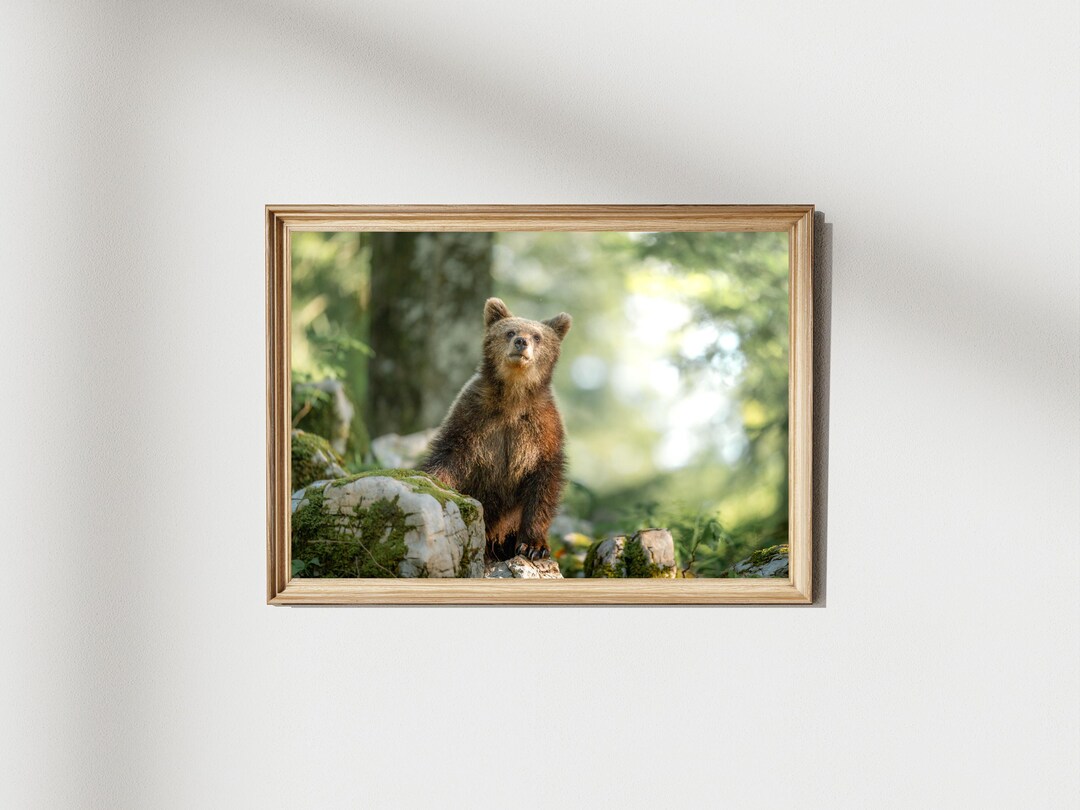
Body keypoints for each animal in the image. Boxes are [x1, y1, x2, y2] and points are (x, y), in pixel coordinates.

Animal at [422, 297, 572, 562]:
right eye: (509, 331)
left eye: (537, 336)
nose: (521, 341)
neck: (513, 397)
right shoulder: (474, 416)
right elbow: (448, 455)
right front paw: (430, 481)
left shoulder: (543, 428)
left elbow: (543, 484)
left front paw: (533, 546)